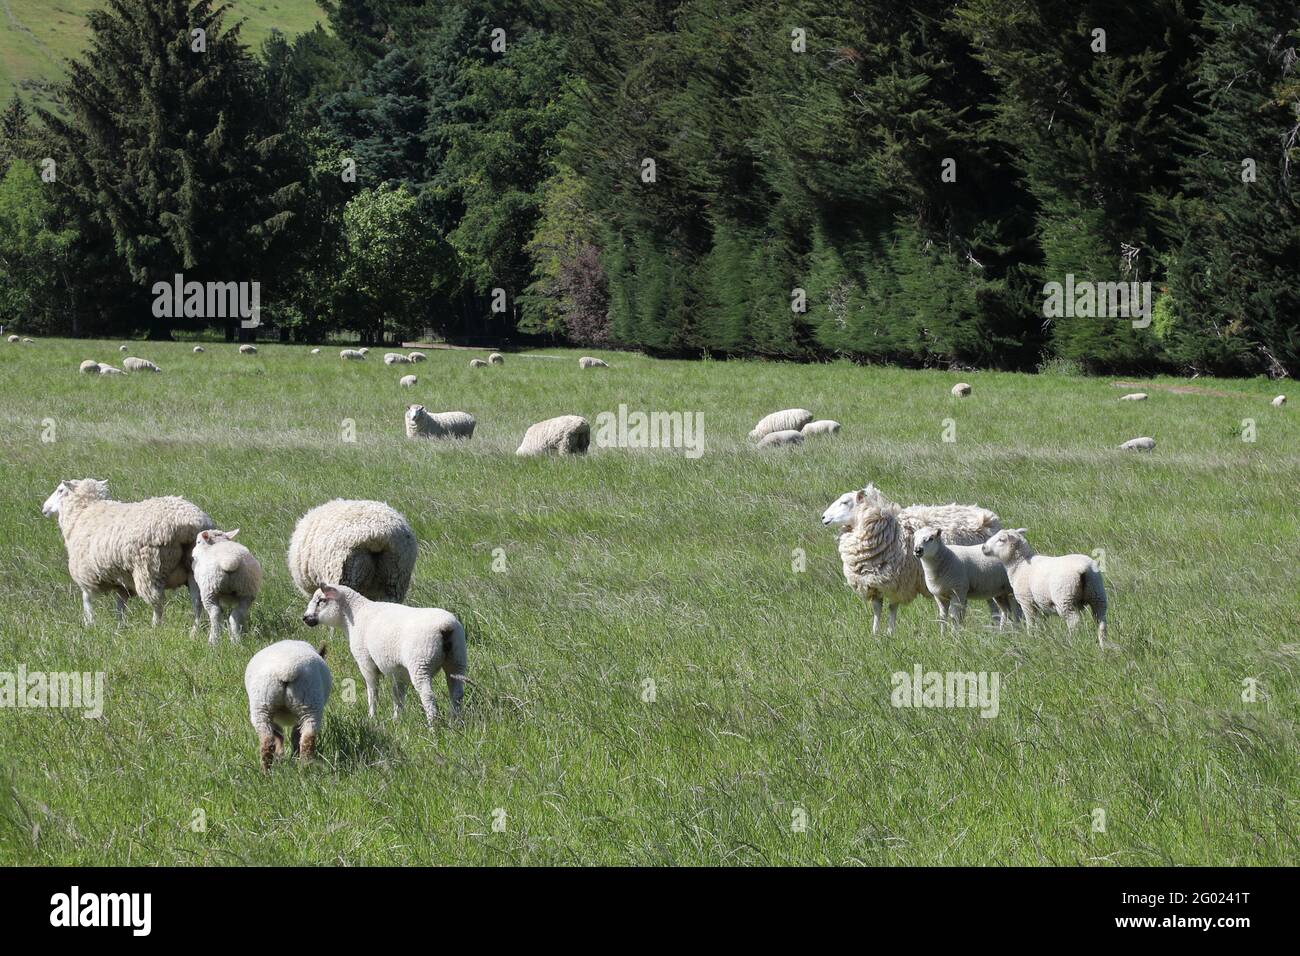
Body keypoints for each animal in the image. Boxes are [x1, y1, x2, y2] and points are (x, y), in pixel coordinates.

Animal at [41, 479, 214, 627]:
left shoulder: (86, 573)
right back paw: (194, 630)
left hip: (149, 568)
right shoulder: (121, 579)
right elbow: (120, 604)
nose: (44, 509)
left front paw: (89, 623)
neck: (84, 510)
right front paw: (120, 627)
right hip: (192, 568)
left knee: (157, 602)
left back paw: (155, 628)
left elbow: (86, 598)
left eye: (60, 490)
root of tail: (190, 524)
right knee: (197, 600)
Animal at [244, 640, 331, 771]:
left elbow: (282, 735)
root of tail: (286, 670)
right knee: (307, 740)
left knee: (267, 742)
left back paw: (267, 772)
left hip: (262, 707)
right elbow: (292, 734)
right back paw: (305, 768)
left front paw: (282, 756)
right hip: (310, 703)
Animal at [302, 584, 466, 723]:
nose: (305, 617)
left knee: (428, 695)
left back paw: (433, 726)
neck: (354, 614)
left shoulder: (366, 662)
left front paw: (372, 717)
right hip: (457, 660)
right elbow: (398, 694)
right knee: (457, 693)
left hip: (421, 663)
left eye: (321, 600)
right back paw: (455, 721)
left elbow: (372, 692)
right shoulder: (397, 670)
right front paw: (397, 719)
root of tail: (445, 627)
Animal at [827, 485, 1002, 635]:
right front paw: (875, 634)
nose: (823, 518)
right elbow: (877, 610)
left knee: (995, 608)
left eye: (845, 502)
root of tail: (991, 519)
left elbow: (892, 608)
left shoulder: (896, 582)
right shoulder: (874, 584)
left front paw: (890, 633)